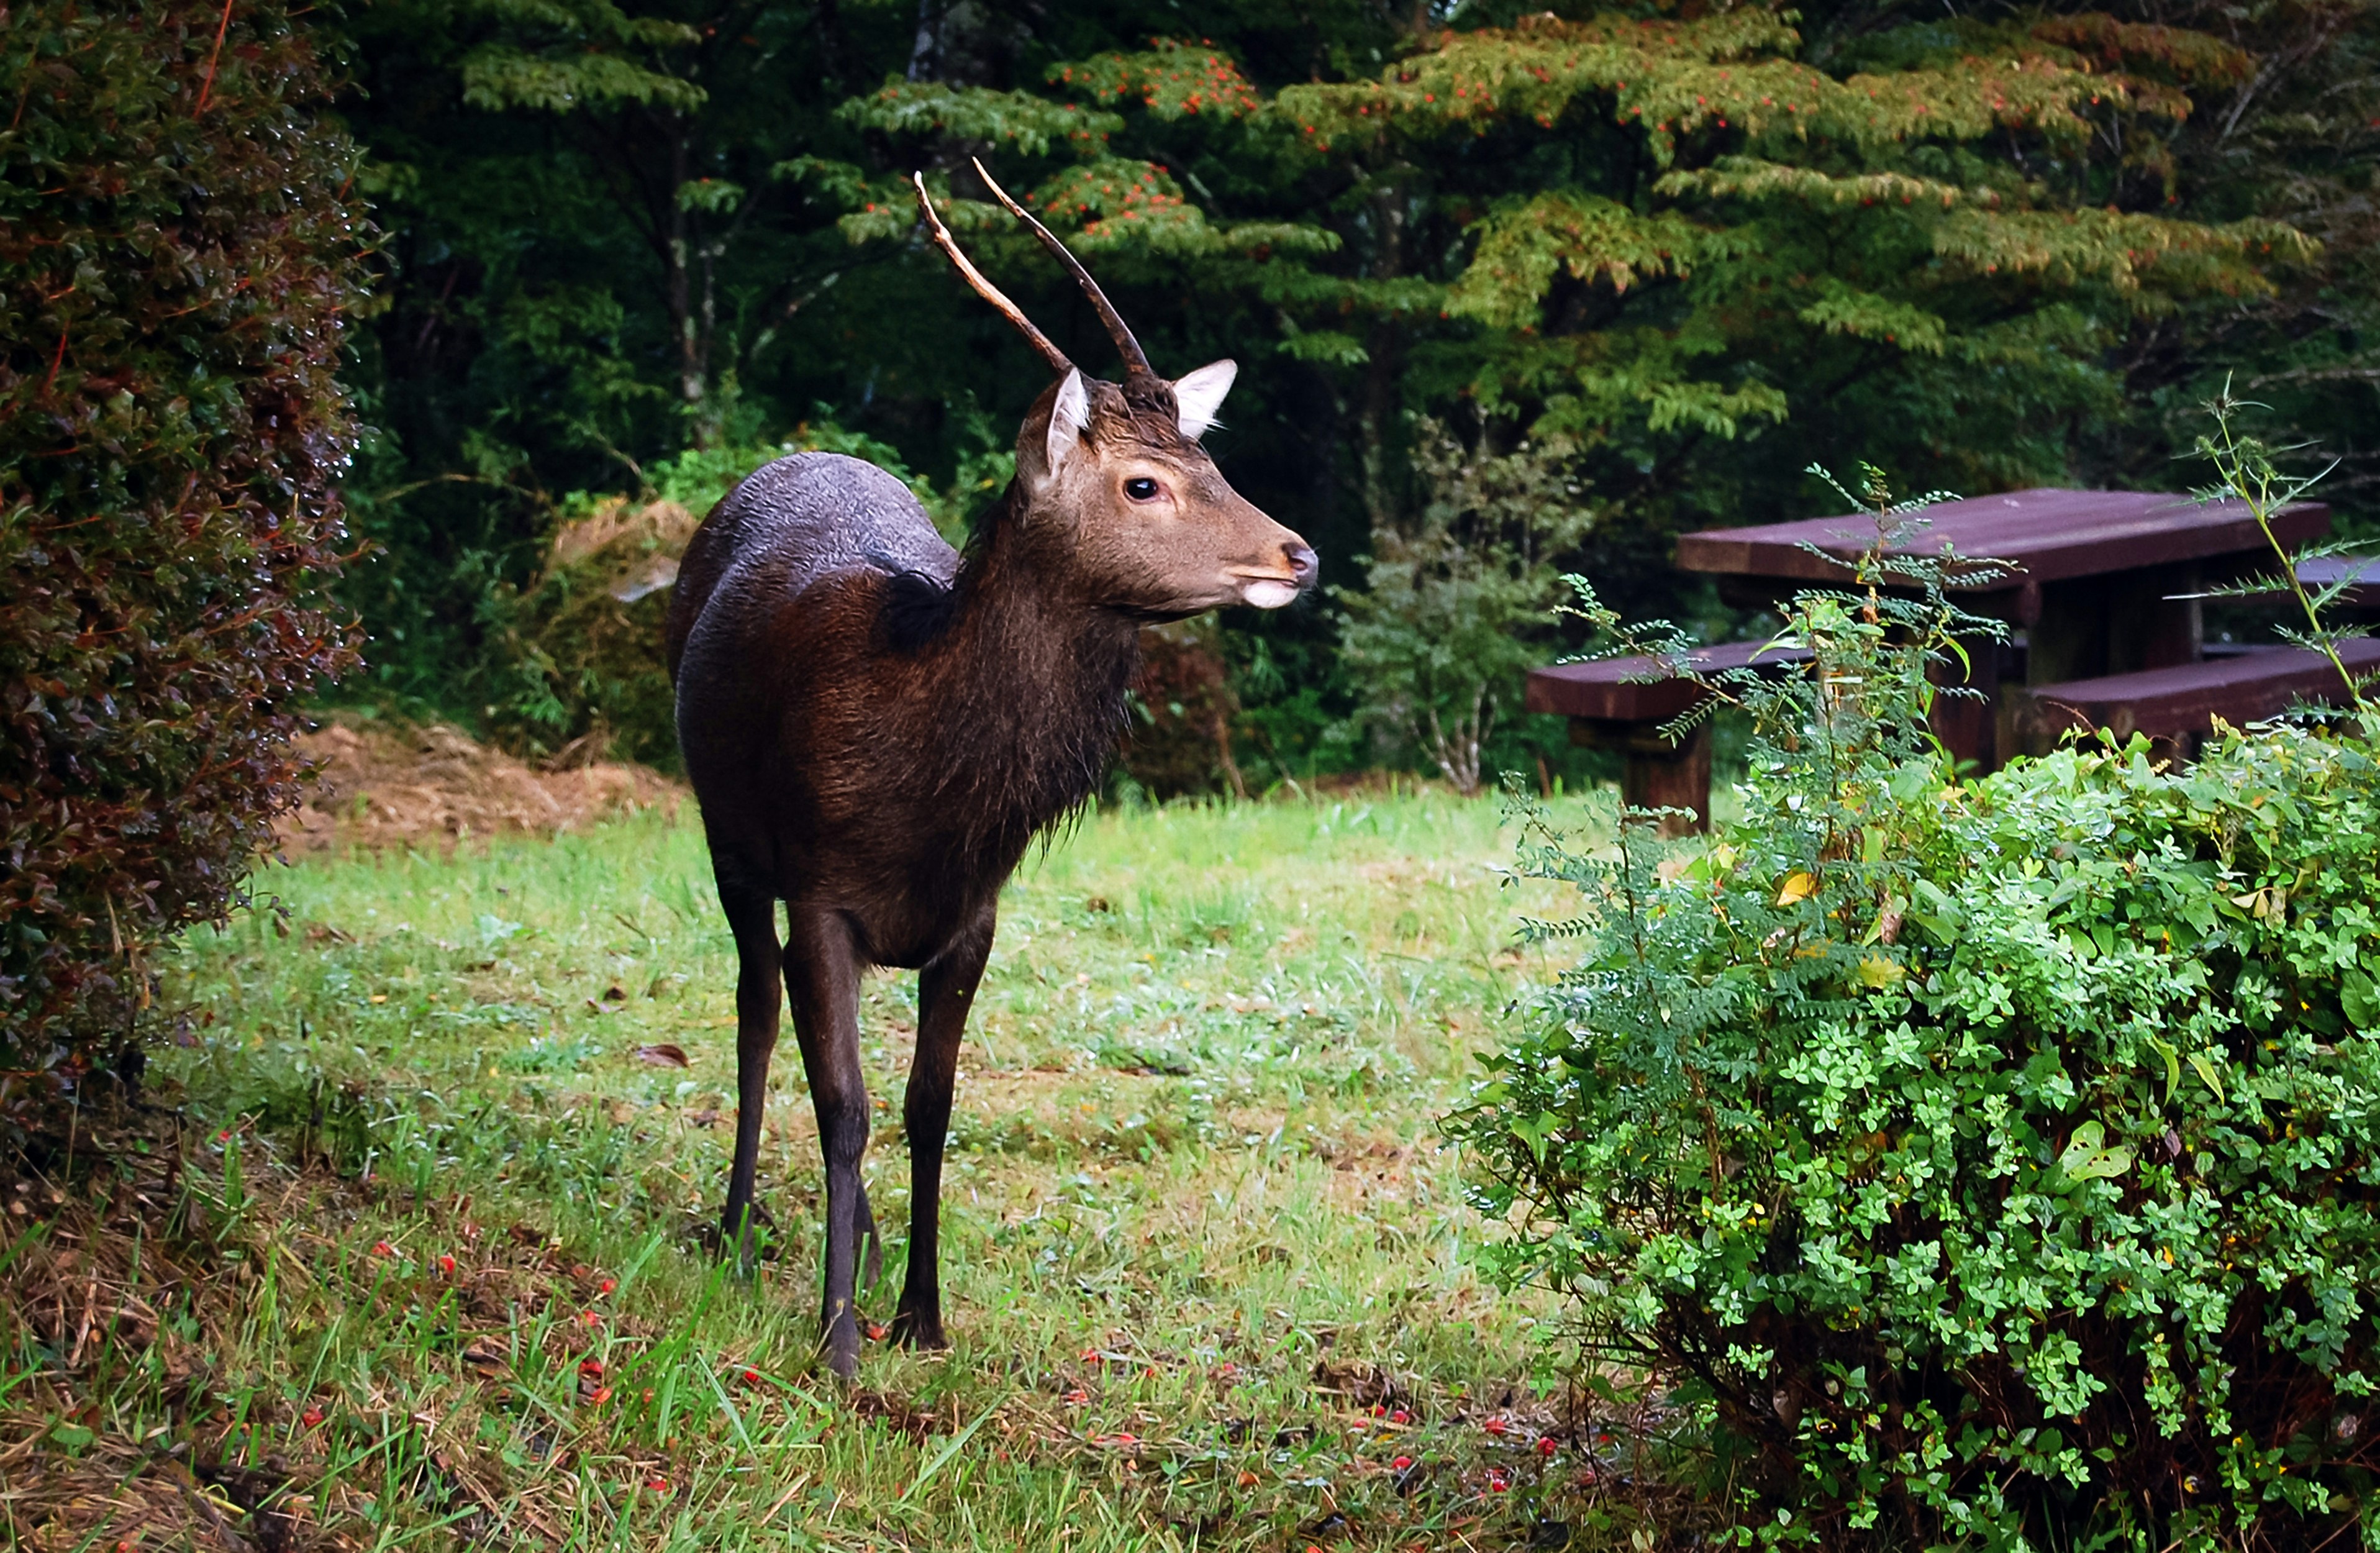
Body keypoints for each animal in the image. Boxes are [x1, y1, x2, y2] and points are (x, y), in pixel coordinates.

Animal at [664, 161, 1318, 1378]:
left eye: (1212, 459)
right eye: (1145, 483)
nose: (1297, 553)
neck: (931, 792)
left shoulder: (973, 915)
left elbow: (928, 1104)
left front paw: (920, 1314)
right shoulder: (819, 886)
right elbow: (844, 1105)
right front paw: (837, 1343)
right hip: (727, 836)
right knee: (753, 1008)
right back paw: (735, 1229)